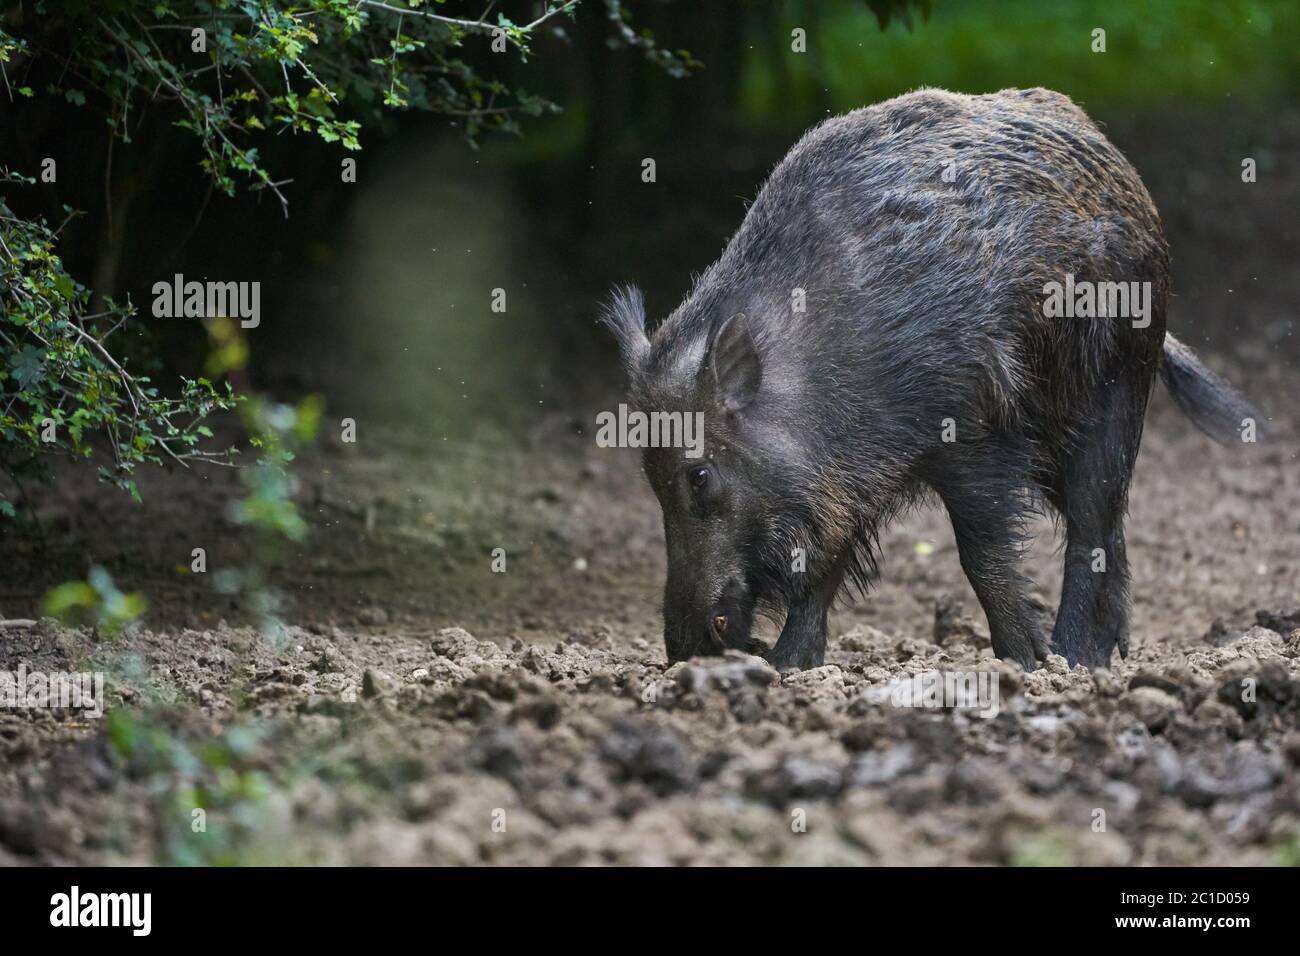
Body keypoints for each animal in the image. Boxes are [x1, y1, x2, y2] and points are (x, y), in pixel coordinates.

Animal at [604, 87, 1267, 672]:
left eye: (698, 475)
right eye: (648, 477)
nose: (683, 650)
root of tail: (1125, 172)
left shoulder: (974, 432)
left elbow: (981, 554)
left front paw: (1026, 662)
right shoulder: (847, 479)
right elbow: (826, 568)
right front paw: (790, 668)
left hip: (1119, 382)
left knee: (1092, 521)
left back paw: (1074, 659)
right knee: (1111, 528)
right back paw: (1110, 655)